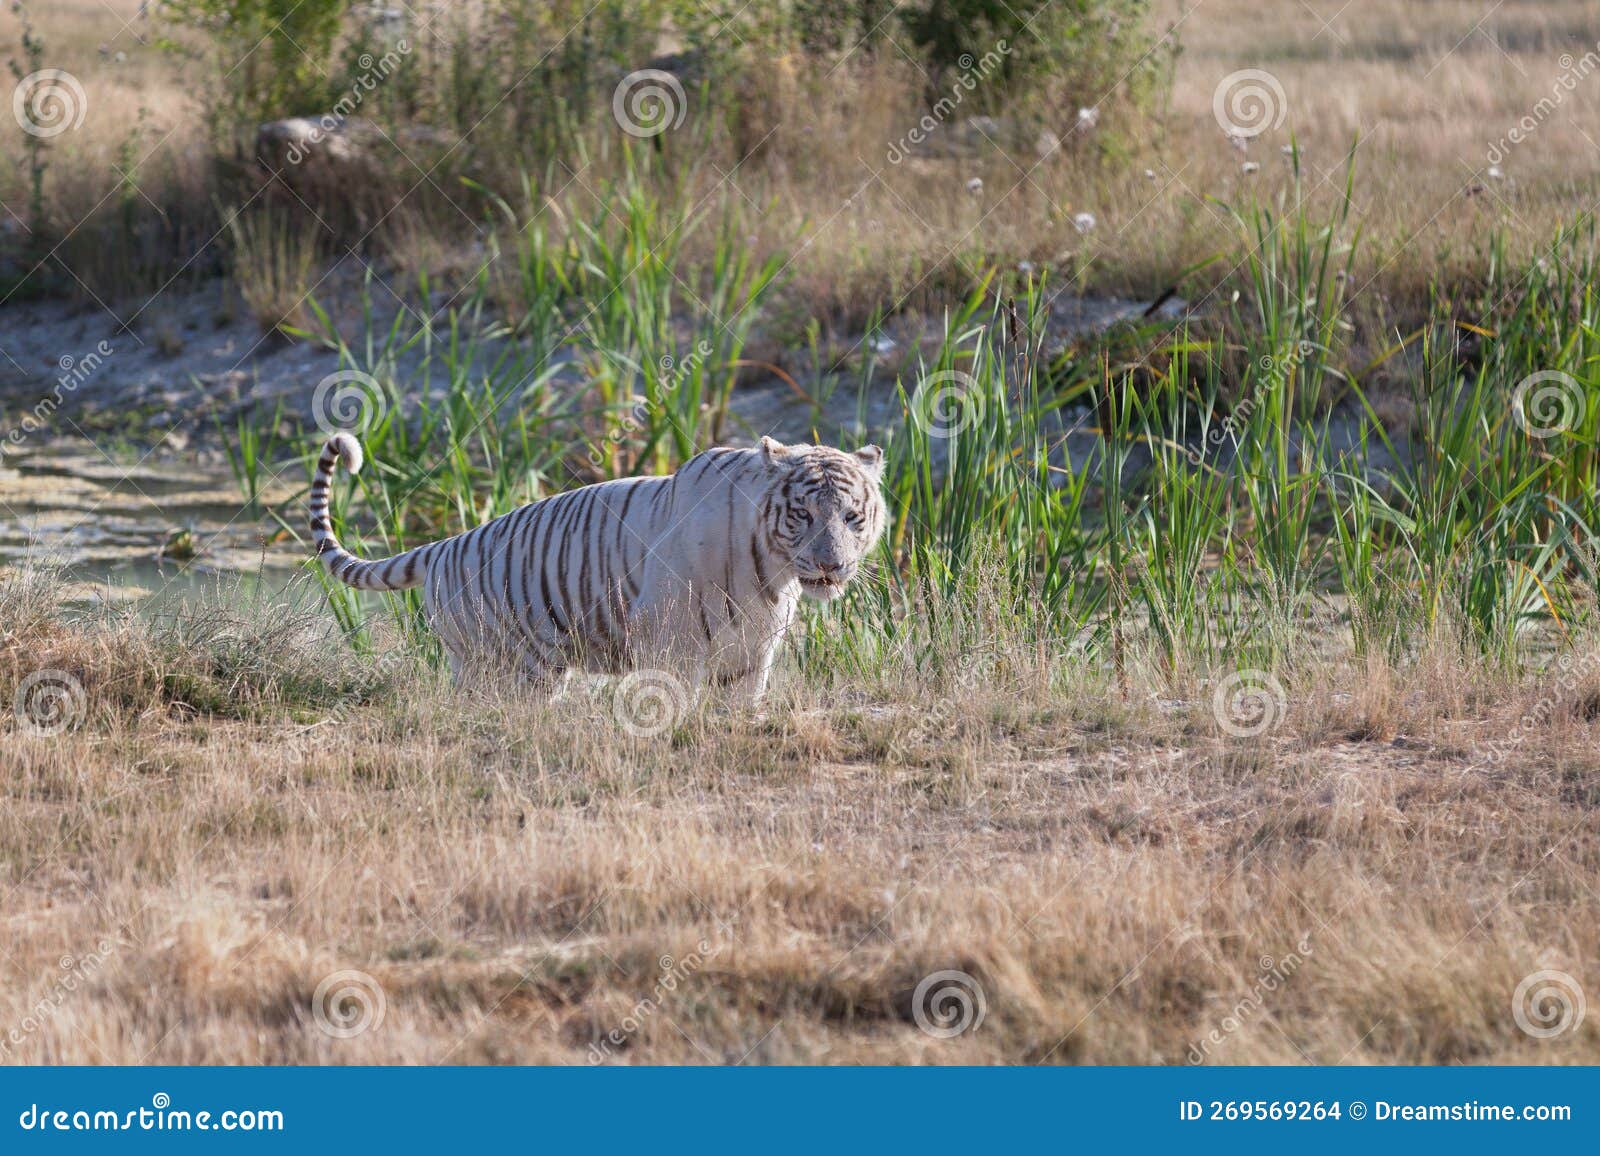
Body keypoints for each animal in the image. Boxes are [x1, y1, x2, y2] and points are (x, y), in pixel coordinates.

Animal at [308, 432, 887, 697]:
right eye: (803, 513)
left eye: (852, 517)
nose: (832, 565)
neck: (771, 567)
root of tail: (444, 545)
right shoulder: (671, 640)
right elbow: (670, 702)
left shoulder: (752, 649)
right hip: (505, 667)